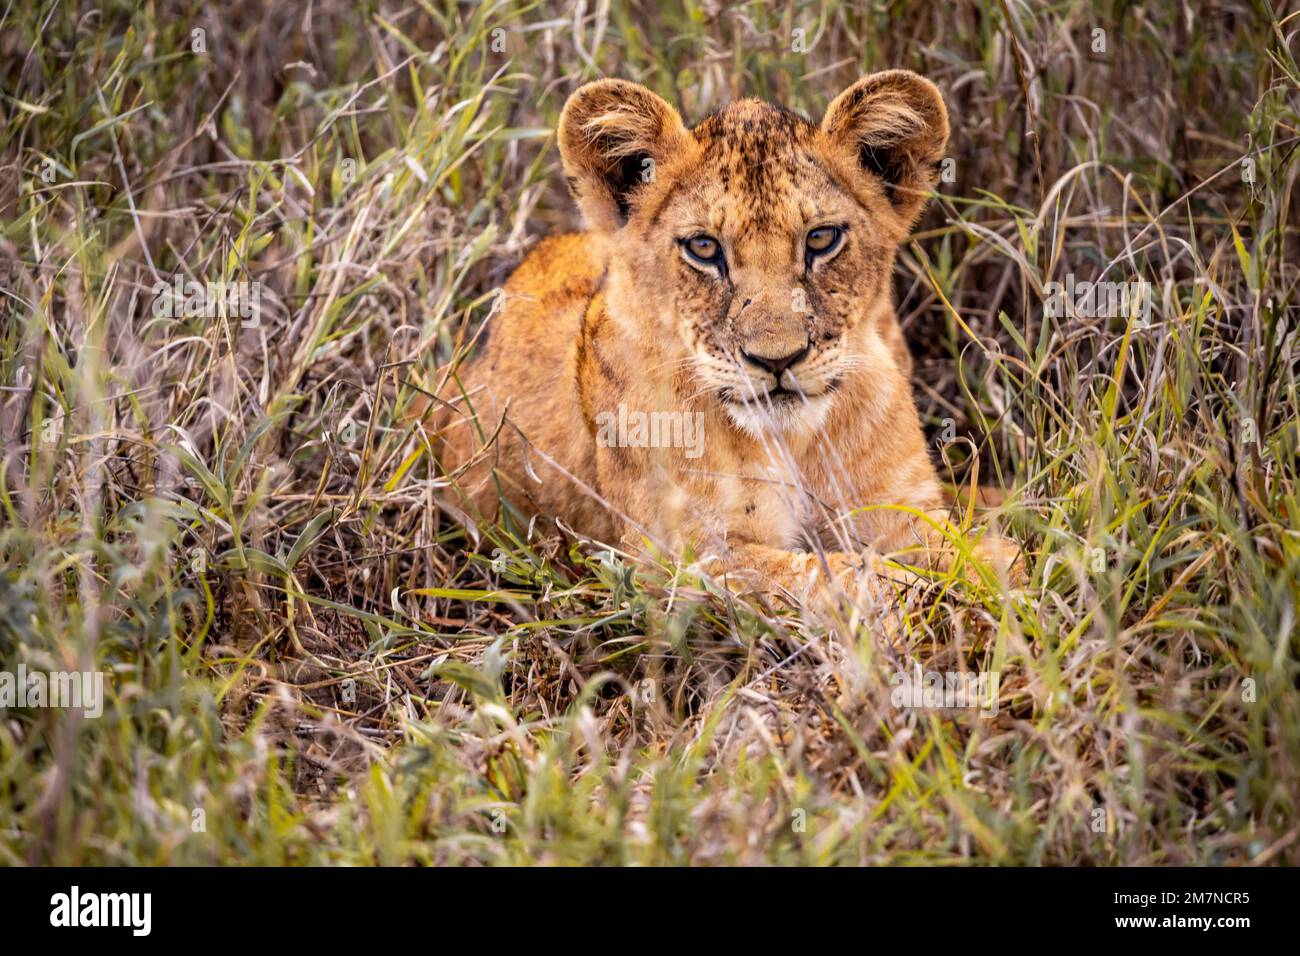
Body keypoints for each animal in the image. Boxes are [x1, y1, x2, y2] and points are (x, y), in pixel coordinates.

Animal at [429, 71, 1018, 610]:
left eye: (821, 239)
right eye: (705, 248)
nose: (777, 359)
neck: (793, 443)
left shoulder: (903, 510)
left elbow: (980, 554)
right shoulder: (679, 560)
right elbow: (842, 577)